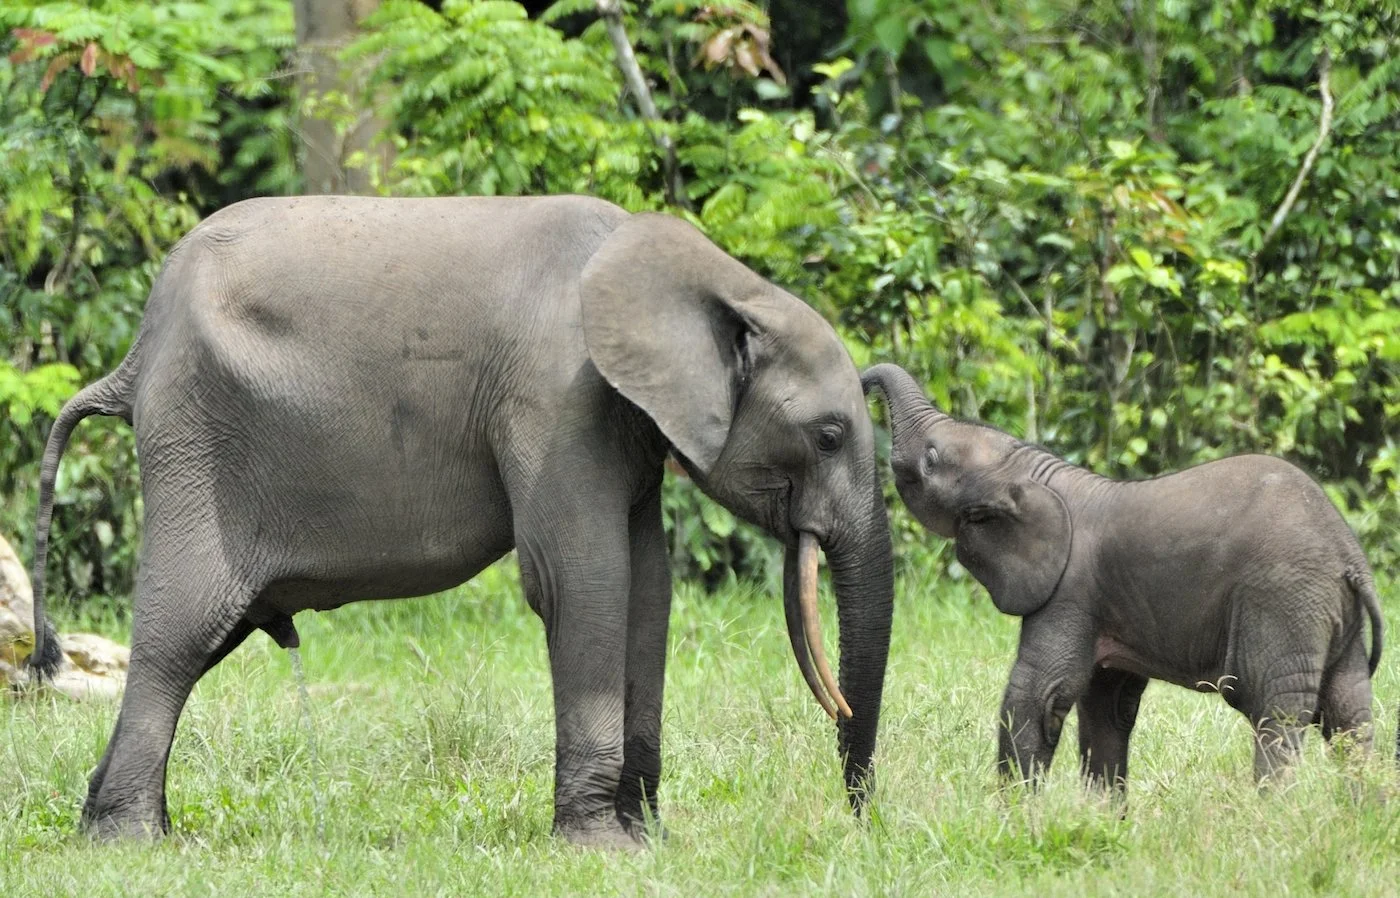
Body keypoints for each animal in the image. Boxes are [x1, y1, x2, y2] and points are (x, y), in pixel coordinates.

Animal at [28, 195, 894, 848]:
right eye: (828, 435)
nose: (857, 821)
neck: (722, 280)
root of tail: (133, 357)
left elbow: (648, 587)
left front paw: (646, 840)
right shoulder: (554, 398)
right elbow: (582, 579)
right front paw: (599, 849)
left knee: (207, 636)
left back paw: (107, 828)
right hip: (197, 441)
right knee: (182, 632)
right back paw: (132, 843)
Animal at [862, 362, 1382, 792]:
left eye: (930, 460)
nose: (863, 380)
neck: (1033, 472)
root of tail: (1350, 557)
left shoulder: (1068, 592)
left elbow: (1039, 694)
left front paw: (1017, 819)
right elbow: (1106, 709)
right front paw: (1103, 818)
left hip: (1283, 602)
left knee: (1278, 713)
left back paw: (1271, 812)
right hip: (1330, 612)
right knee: (1348, 715)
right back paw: (1362, 814)